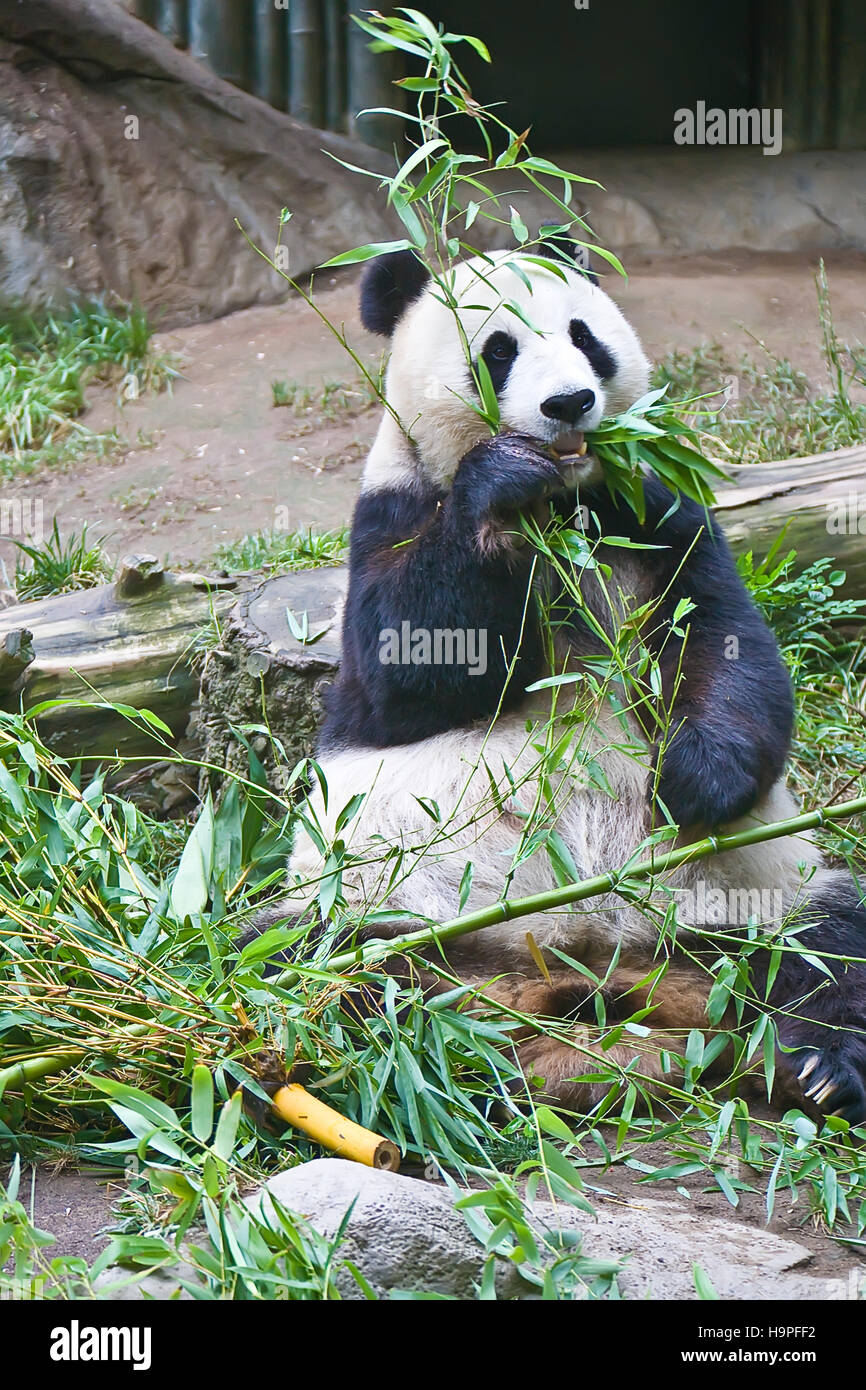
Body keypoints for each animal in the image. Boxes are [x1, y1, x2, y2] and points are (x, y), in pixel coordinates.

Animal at [255, 244, 866, 1124]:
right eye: (498, 350)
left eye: (584, 335)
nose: (569, 402)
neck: (566, 498)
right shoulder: (390, 515)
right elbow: (402, 664)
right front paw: (501, 481)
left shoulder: (655, 507)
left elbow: (726, 644)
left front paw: (692, 781)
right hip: (381, 910)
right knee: (309, 969)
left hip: (759, 890)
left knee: (828, 950)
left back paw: (817, 1066)